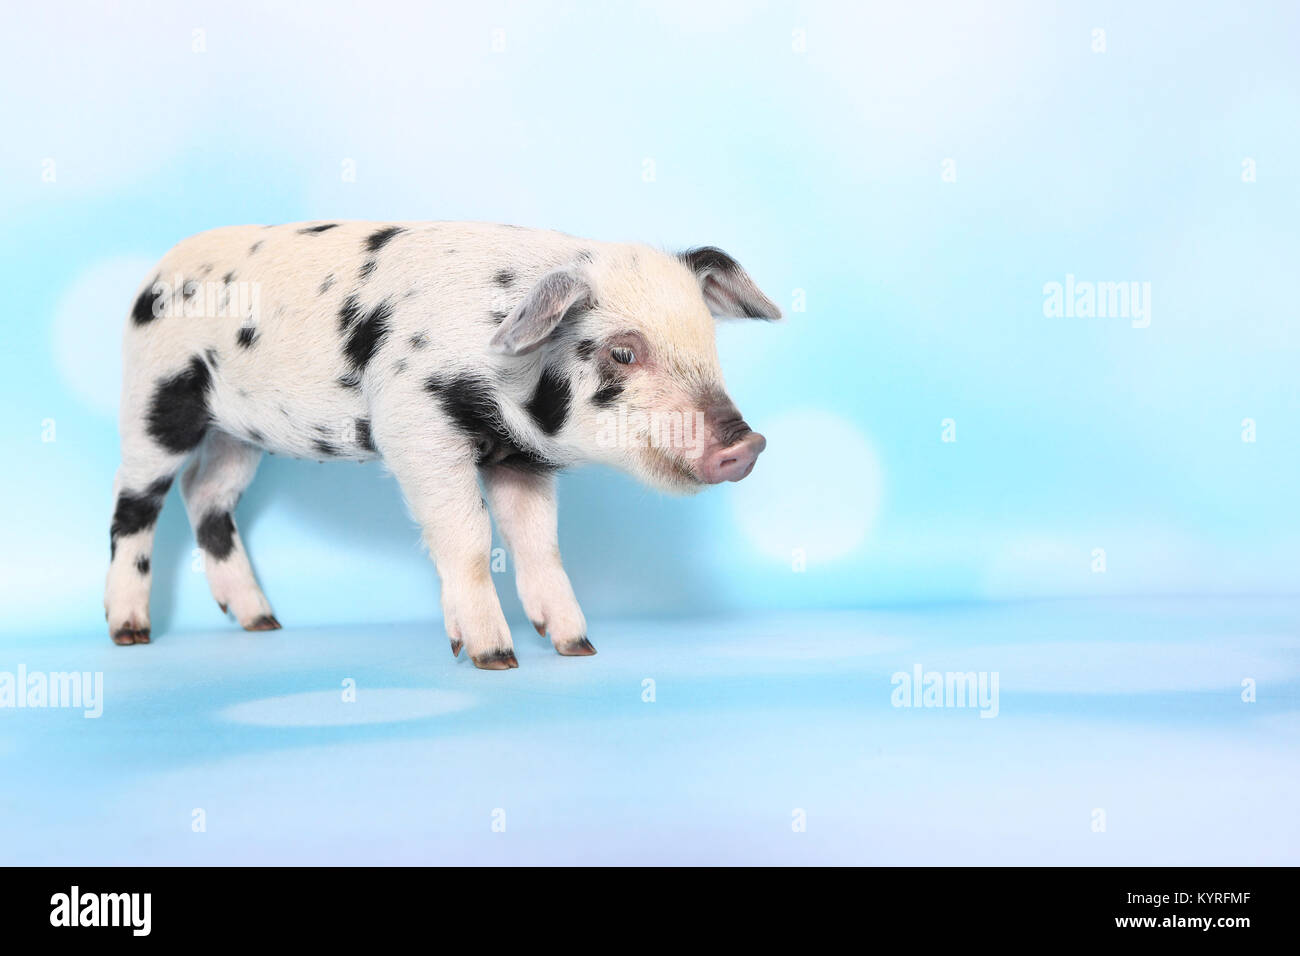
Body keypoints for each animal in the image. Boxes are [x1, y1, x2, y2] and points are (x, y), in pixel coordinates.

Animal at [105, 222, 778, 668]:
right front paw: (493, 658)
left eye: (709, 344)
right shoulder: (415, 427)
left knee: (206, 495)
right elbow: (469, 538)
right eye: (622, 352)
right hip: (156, 402)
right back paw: (131, 634)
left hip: (238, 434)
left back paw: (263, 623)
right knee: (133, 506)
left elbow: (540, 546)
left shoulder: (521, 459)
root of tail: (152, 277)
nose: (747, 444)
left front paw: (577, 647)